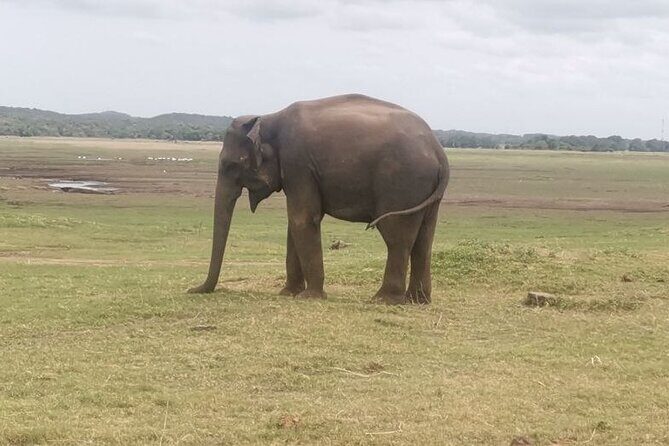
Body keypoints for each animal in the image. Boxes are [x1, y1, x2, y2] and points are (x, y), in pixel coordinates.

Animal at [189, 94, 449, 304]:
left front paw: (309, 297)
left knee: (397, 237)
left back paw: (383, 300)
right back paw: (418, 301)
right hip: (424, 191)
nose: (192, 290)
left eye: (230, 166)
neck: (270, 117)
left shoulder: (298, 163)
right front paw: (288, 293)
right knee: (424, 239)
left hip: (402, 183)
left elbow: (302, 219)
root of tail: (438, 150)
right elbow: (294, 224)